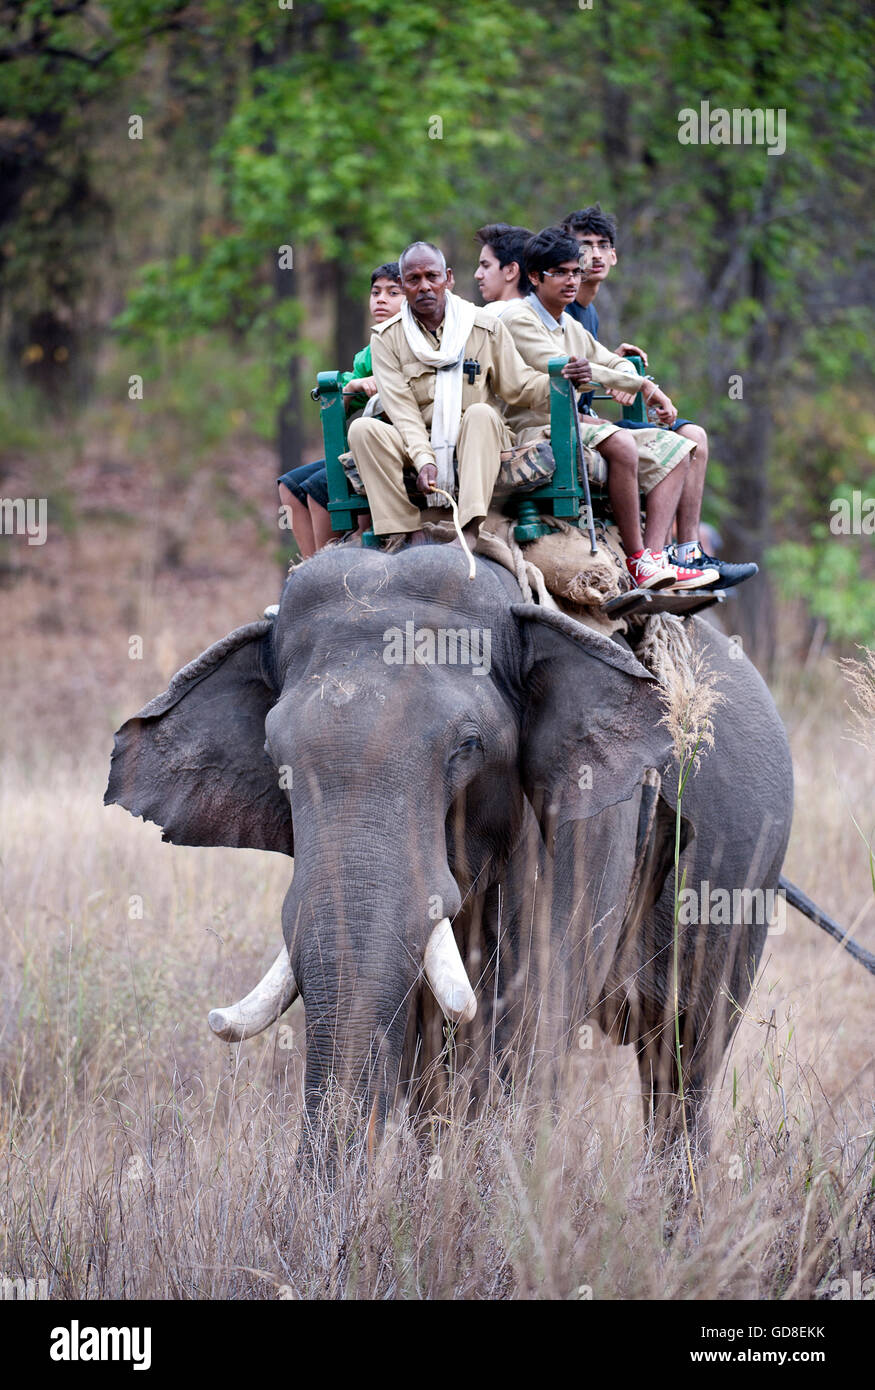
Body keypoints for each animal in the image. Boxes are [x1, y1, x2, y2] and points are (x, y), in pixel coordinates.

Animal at [105, 544, 794, 1154]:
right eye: (276, 757)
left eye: (467, 746)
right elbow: (423, 1046)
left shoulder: (595, 818)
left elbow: (532, 1014)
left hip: (747, 866)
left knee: (684, 1058)